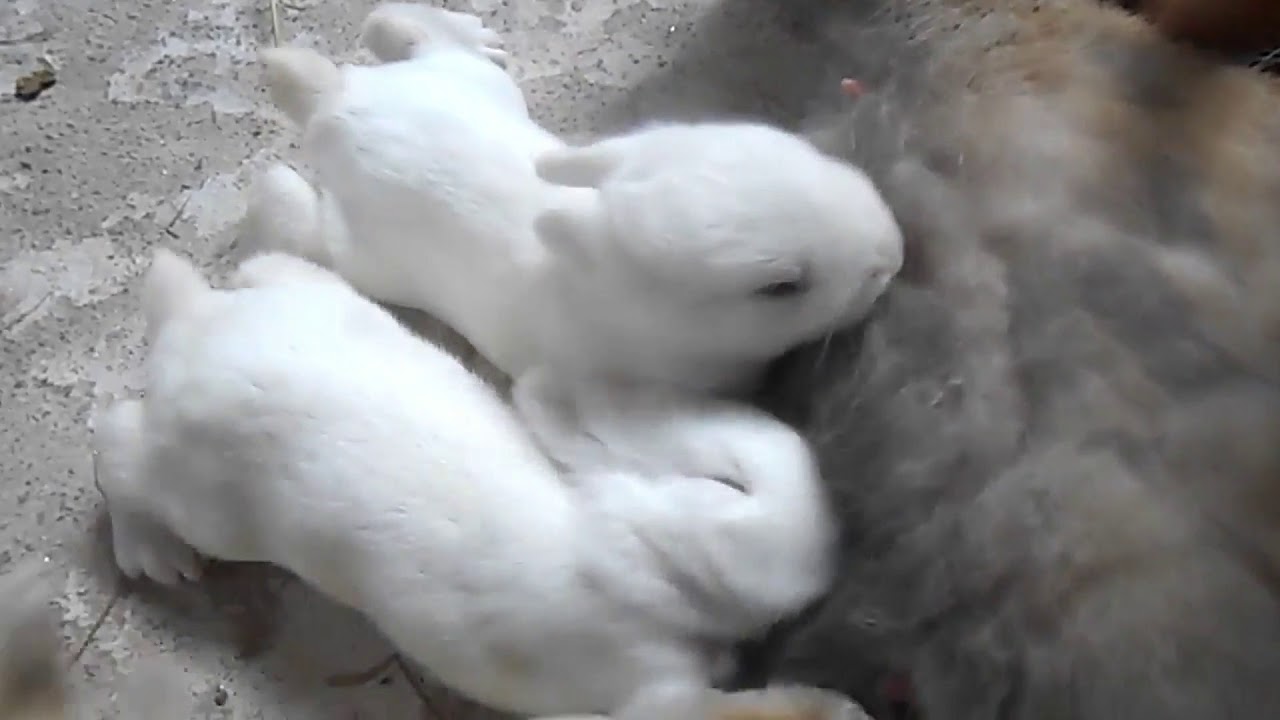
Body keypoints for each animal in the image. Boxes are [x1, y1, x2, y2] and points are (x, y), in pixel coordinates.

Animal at [89, 248, 837, 718]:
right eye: (730, 483)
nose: (827, 537)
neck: (642, 551)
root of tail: (192, 325)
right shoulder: (653, 683)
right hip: (208, 504)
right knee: (117, 443)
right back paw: (154, 555)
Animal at [244, 1, 903, 395]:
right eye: (781, 288)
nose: (892, 255)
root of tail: (339, 103)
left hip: (475, 84)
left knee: (398, 30)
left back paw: (467, 34)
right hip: (365, 259)